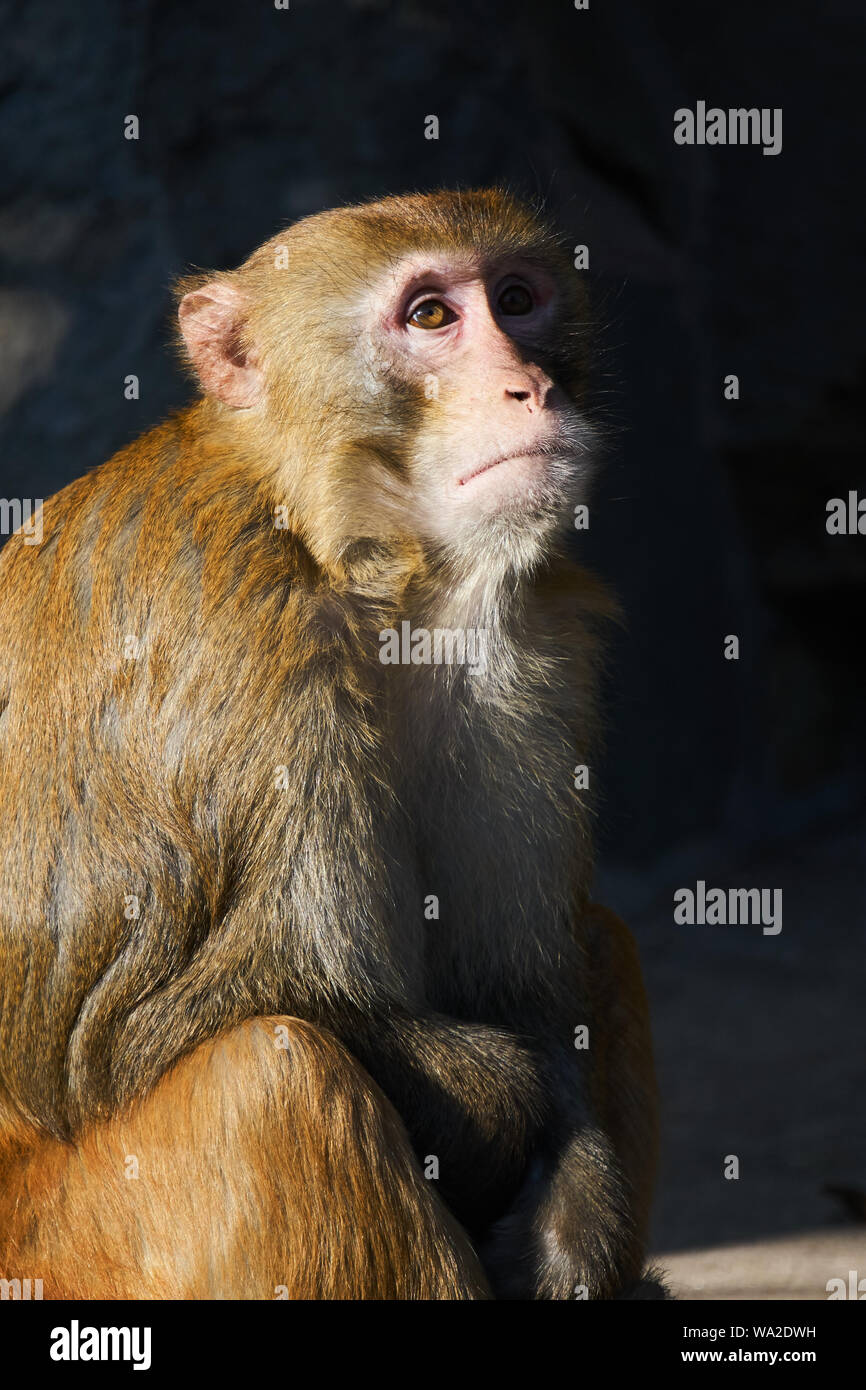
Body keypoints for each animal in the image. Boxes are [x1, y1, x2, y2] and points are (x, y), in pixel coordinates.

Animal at [0, 189, 662, 1300]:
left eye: (517, 299)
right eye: (431, 316)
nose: (528, 387)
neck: (354, 556)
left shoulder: (532, 650)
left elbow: (530, 984)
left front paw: (576, 1227)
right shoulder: (237, 626)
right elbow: (152, 1029)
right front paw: (502, 1101)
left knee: (602, 939)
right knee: (276, 1072)